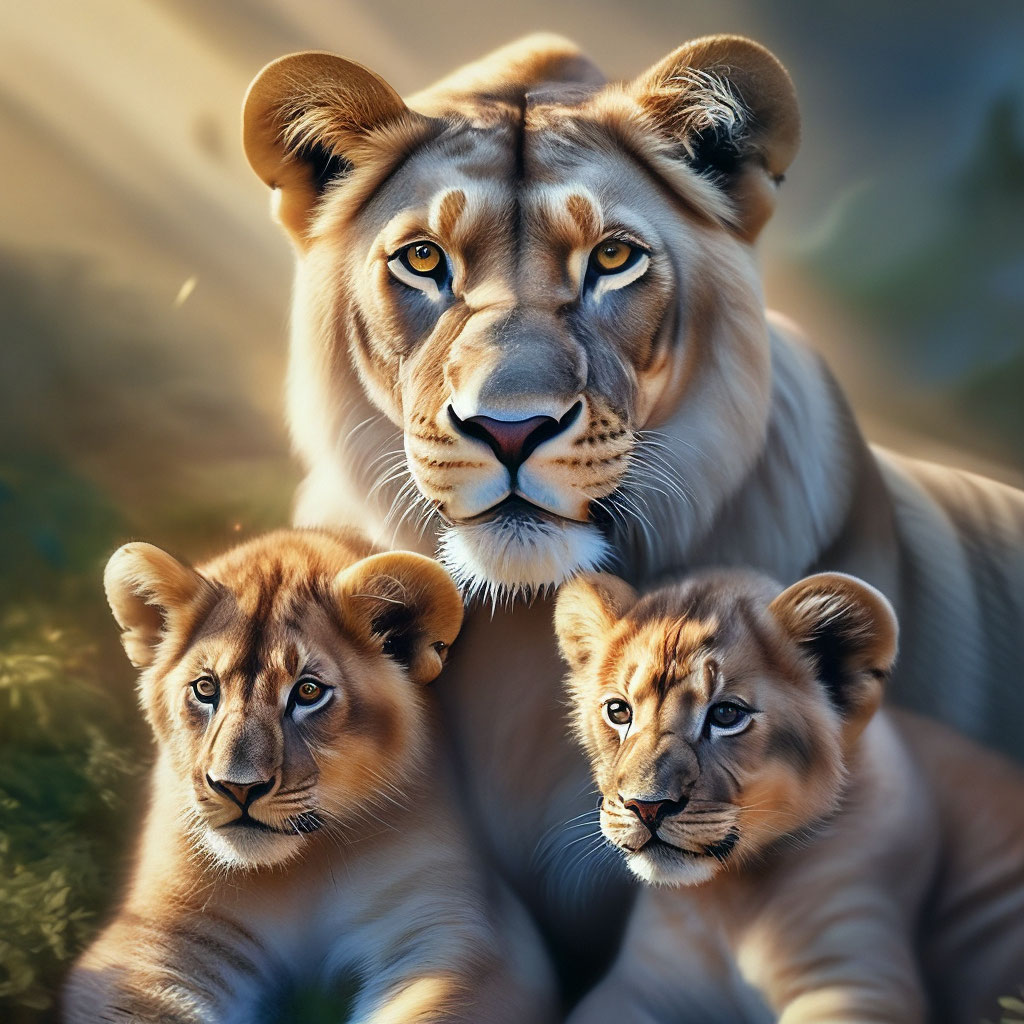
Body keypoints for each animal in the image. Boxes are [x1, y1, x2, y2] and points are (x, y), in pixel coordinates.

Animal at [63, 529, 556, 1024]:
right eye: (205, 689)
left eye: (307, 691)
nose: (237, 787)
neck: (301, 870)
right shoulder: (158, 933)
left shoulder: (455, 927)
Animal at [554, 569, 1024, 1023]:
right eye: (619, 712)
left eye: (727, 714)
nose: (646, 806)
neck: (731, 900)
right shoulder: (641, 983)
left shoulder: (854, 982)